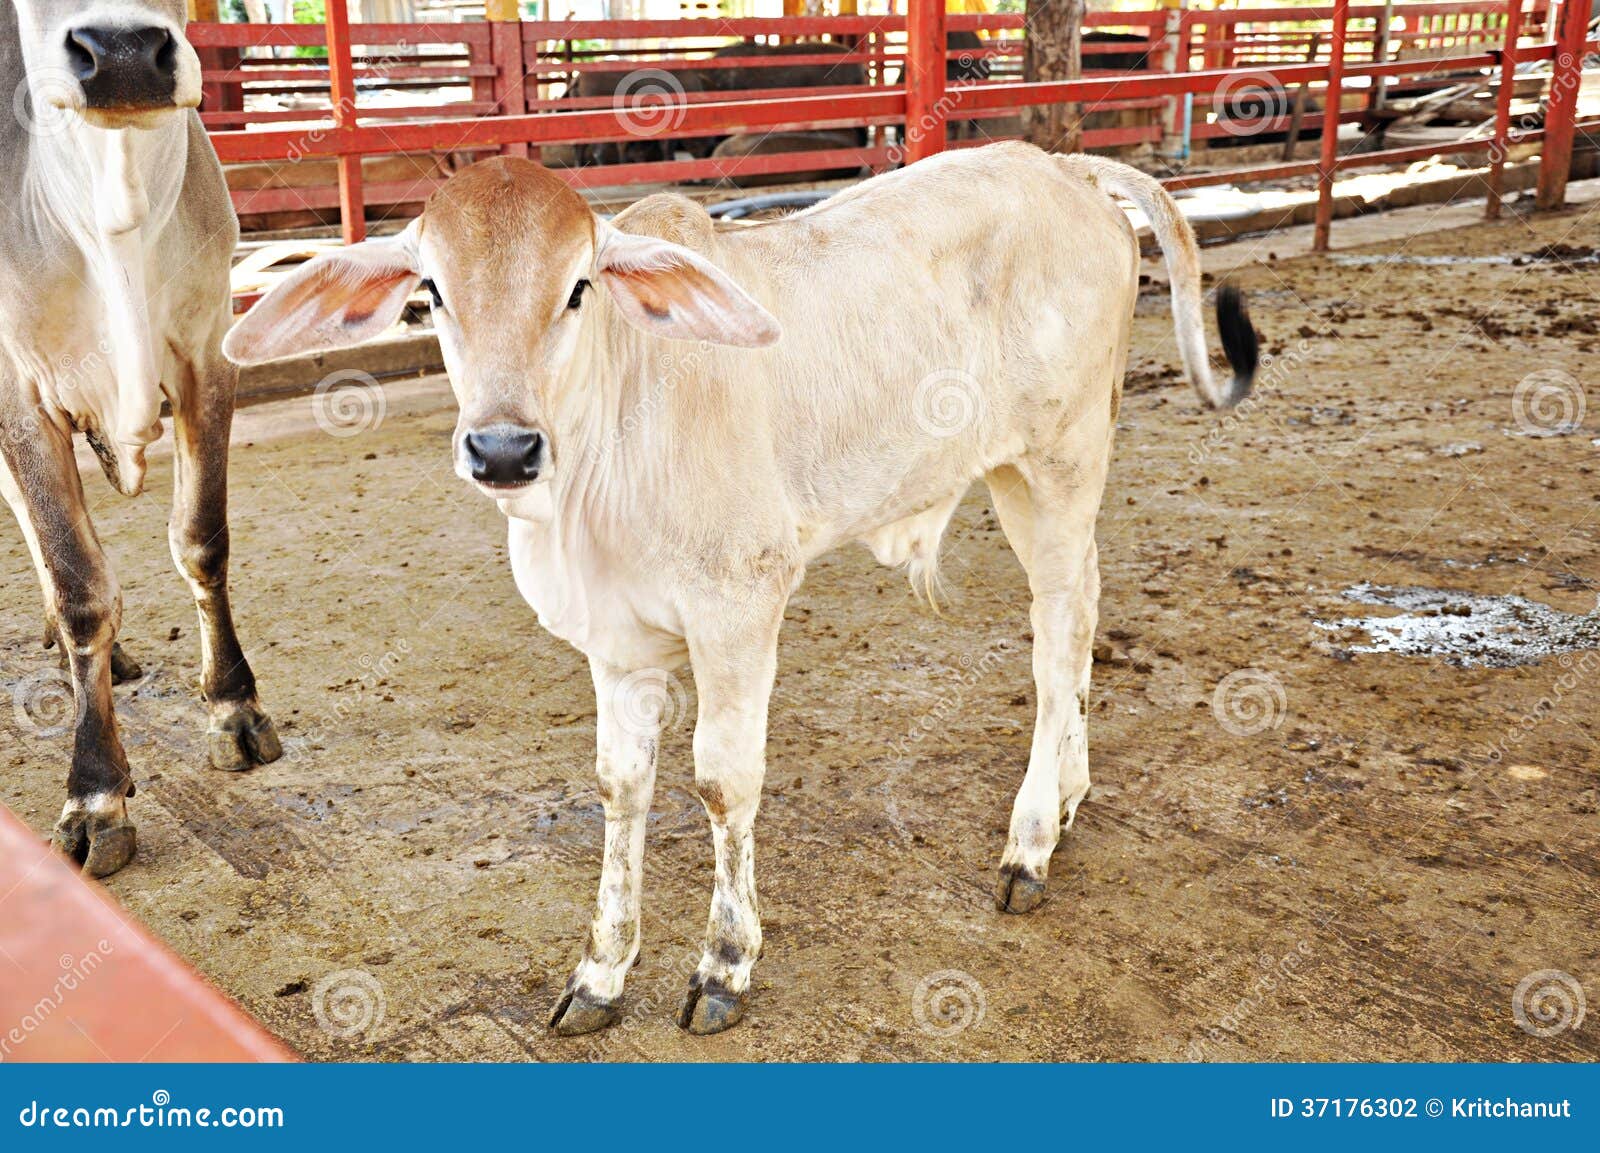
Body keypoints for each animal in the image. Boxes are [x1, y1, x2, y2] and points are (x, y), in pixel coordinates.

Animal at [2, 0, 280, 877]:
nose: (123, 52)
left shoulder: (207, 351)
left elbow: (202, 540)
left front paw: (234, 708)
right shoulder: (16, 392)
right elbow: (79, 583)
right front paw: (96, 792)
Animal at [224, 141, 1257, 1034]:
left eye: (578, 287)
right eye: (432, 291)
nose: (504, 449)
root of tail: (1063, 166)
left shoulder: (739, 607)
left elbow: (724, 782)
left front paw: (724, 963)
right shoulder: (618, 643)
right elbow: (621, 785)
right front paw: (601, 972)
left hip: (1060, 460)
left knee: (1058, 632)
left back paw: (1032, 837)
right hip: (1021, 473)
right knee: (1082, 607)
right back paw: (1069, 797)